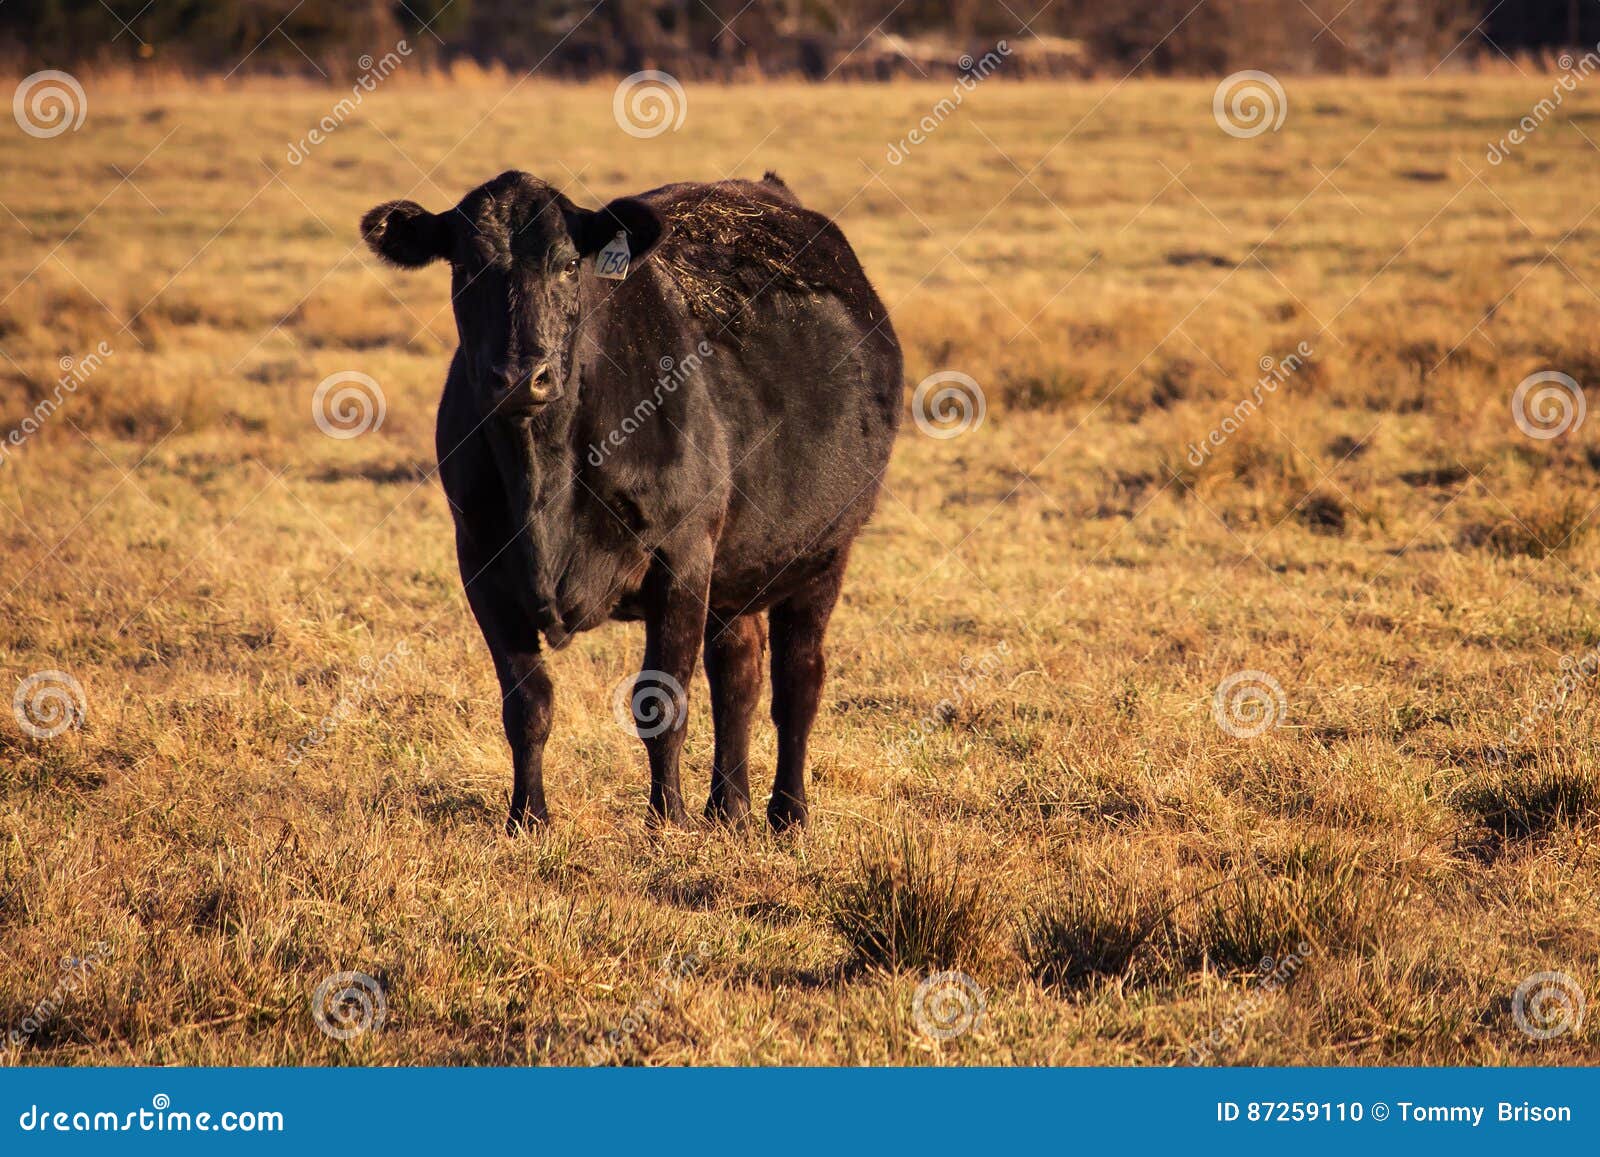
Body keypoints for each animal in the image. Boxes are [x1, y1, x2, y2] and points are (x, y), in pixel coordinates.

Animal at [360, 170, 901, 832]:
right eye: (464, 265)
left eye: (570, 264)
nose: (520, 377)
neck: (545, 479)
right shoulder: (480, 562)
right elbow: (527, 703)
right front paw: (527, 818)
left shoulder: (682, 556)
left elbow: (661, 701)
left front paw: (667, 819)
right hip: (736, 570)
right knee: (738, 675)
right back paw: (728, 808)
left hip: (824, 552)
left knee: (798, 681)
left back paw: (787, 813)